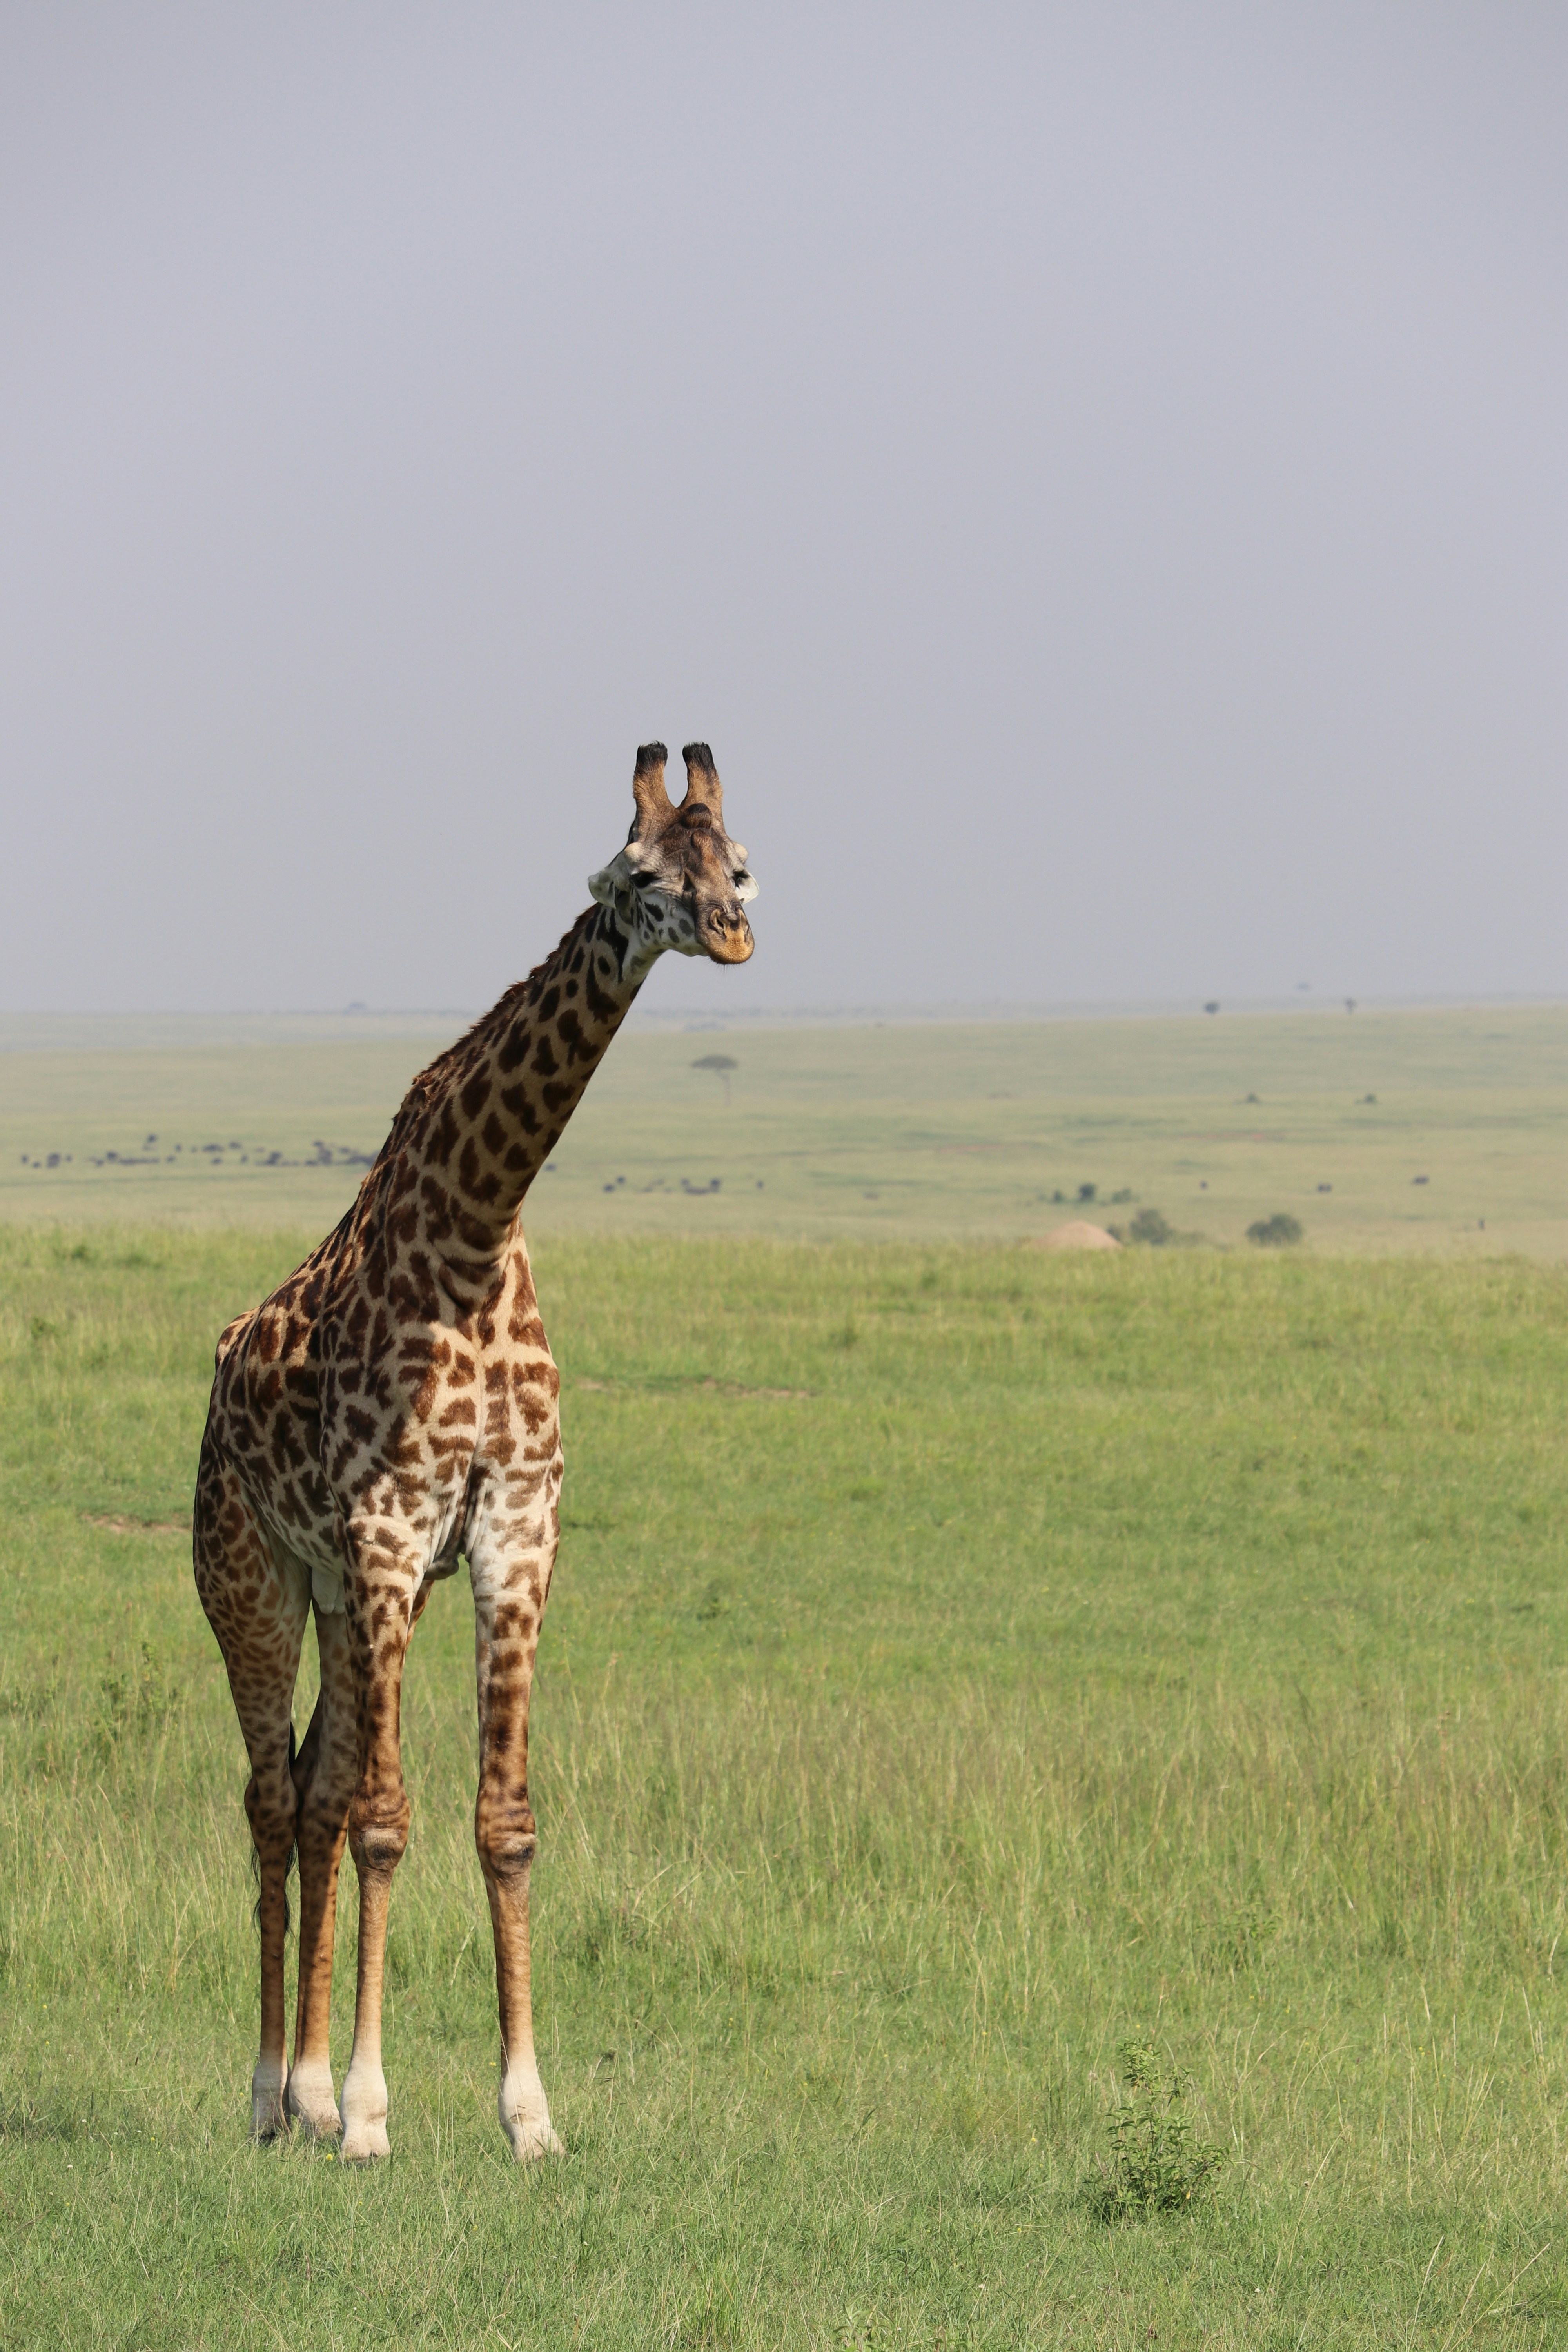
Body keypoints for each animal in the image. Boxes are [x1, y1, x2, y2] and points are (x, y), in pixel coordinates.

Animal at [193, 742, 756, 2160]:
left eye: (740, 859)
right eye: (640, 873)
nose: (732, 929)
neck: (479, 1229)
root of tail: (221, 1369)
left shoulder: (514, 1534)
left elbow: (503, 1823)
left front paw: (528, 2114)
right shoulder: (392, 1530)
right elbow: (390, 1822)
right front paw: (372, 2116)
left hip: (340, 1596)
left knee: (316, 1789)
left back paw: (304, 2086)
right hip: (254, 1575)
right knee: (275, 1799)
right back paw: (272, 2096)